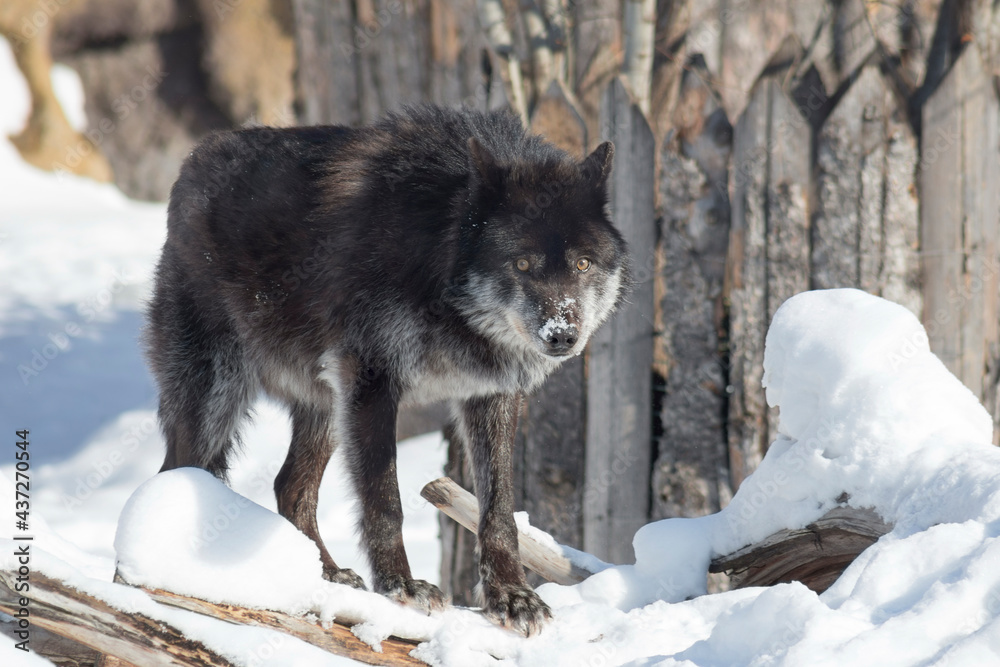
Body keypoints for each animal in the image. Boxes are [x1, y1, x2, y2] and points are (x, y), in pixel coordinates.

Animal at [145, 105, 629, 635]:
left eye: (583, 264)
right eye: (522, 264)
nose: (562, 335)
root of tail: (194, 160)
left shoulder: (491, 394)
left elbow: (499, 510)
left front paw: (512, 596)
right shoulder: (373, 380)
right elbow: (385, 501)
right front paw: (401, 586)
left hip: (327, 406)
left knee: (289, 487)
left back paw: (323, 575)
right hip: (219, 397)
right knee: (179, 472)